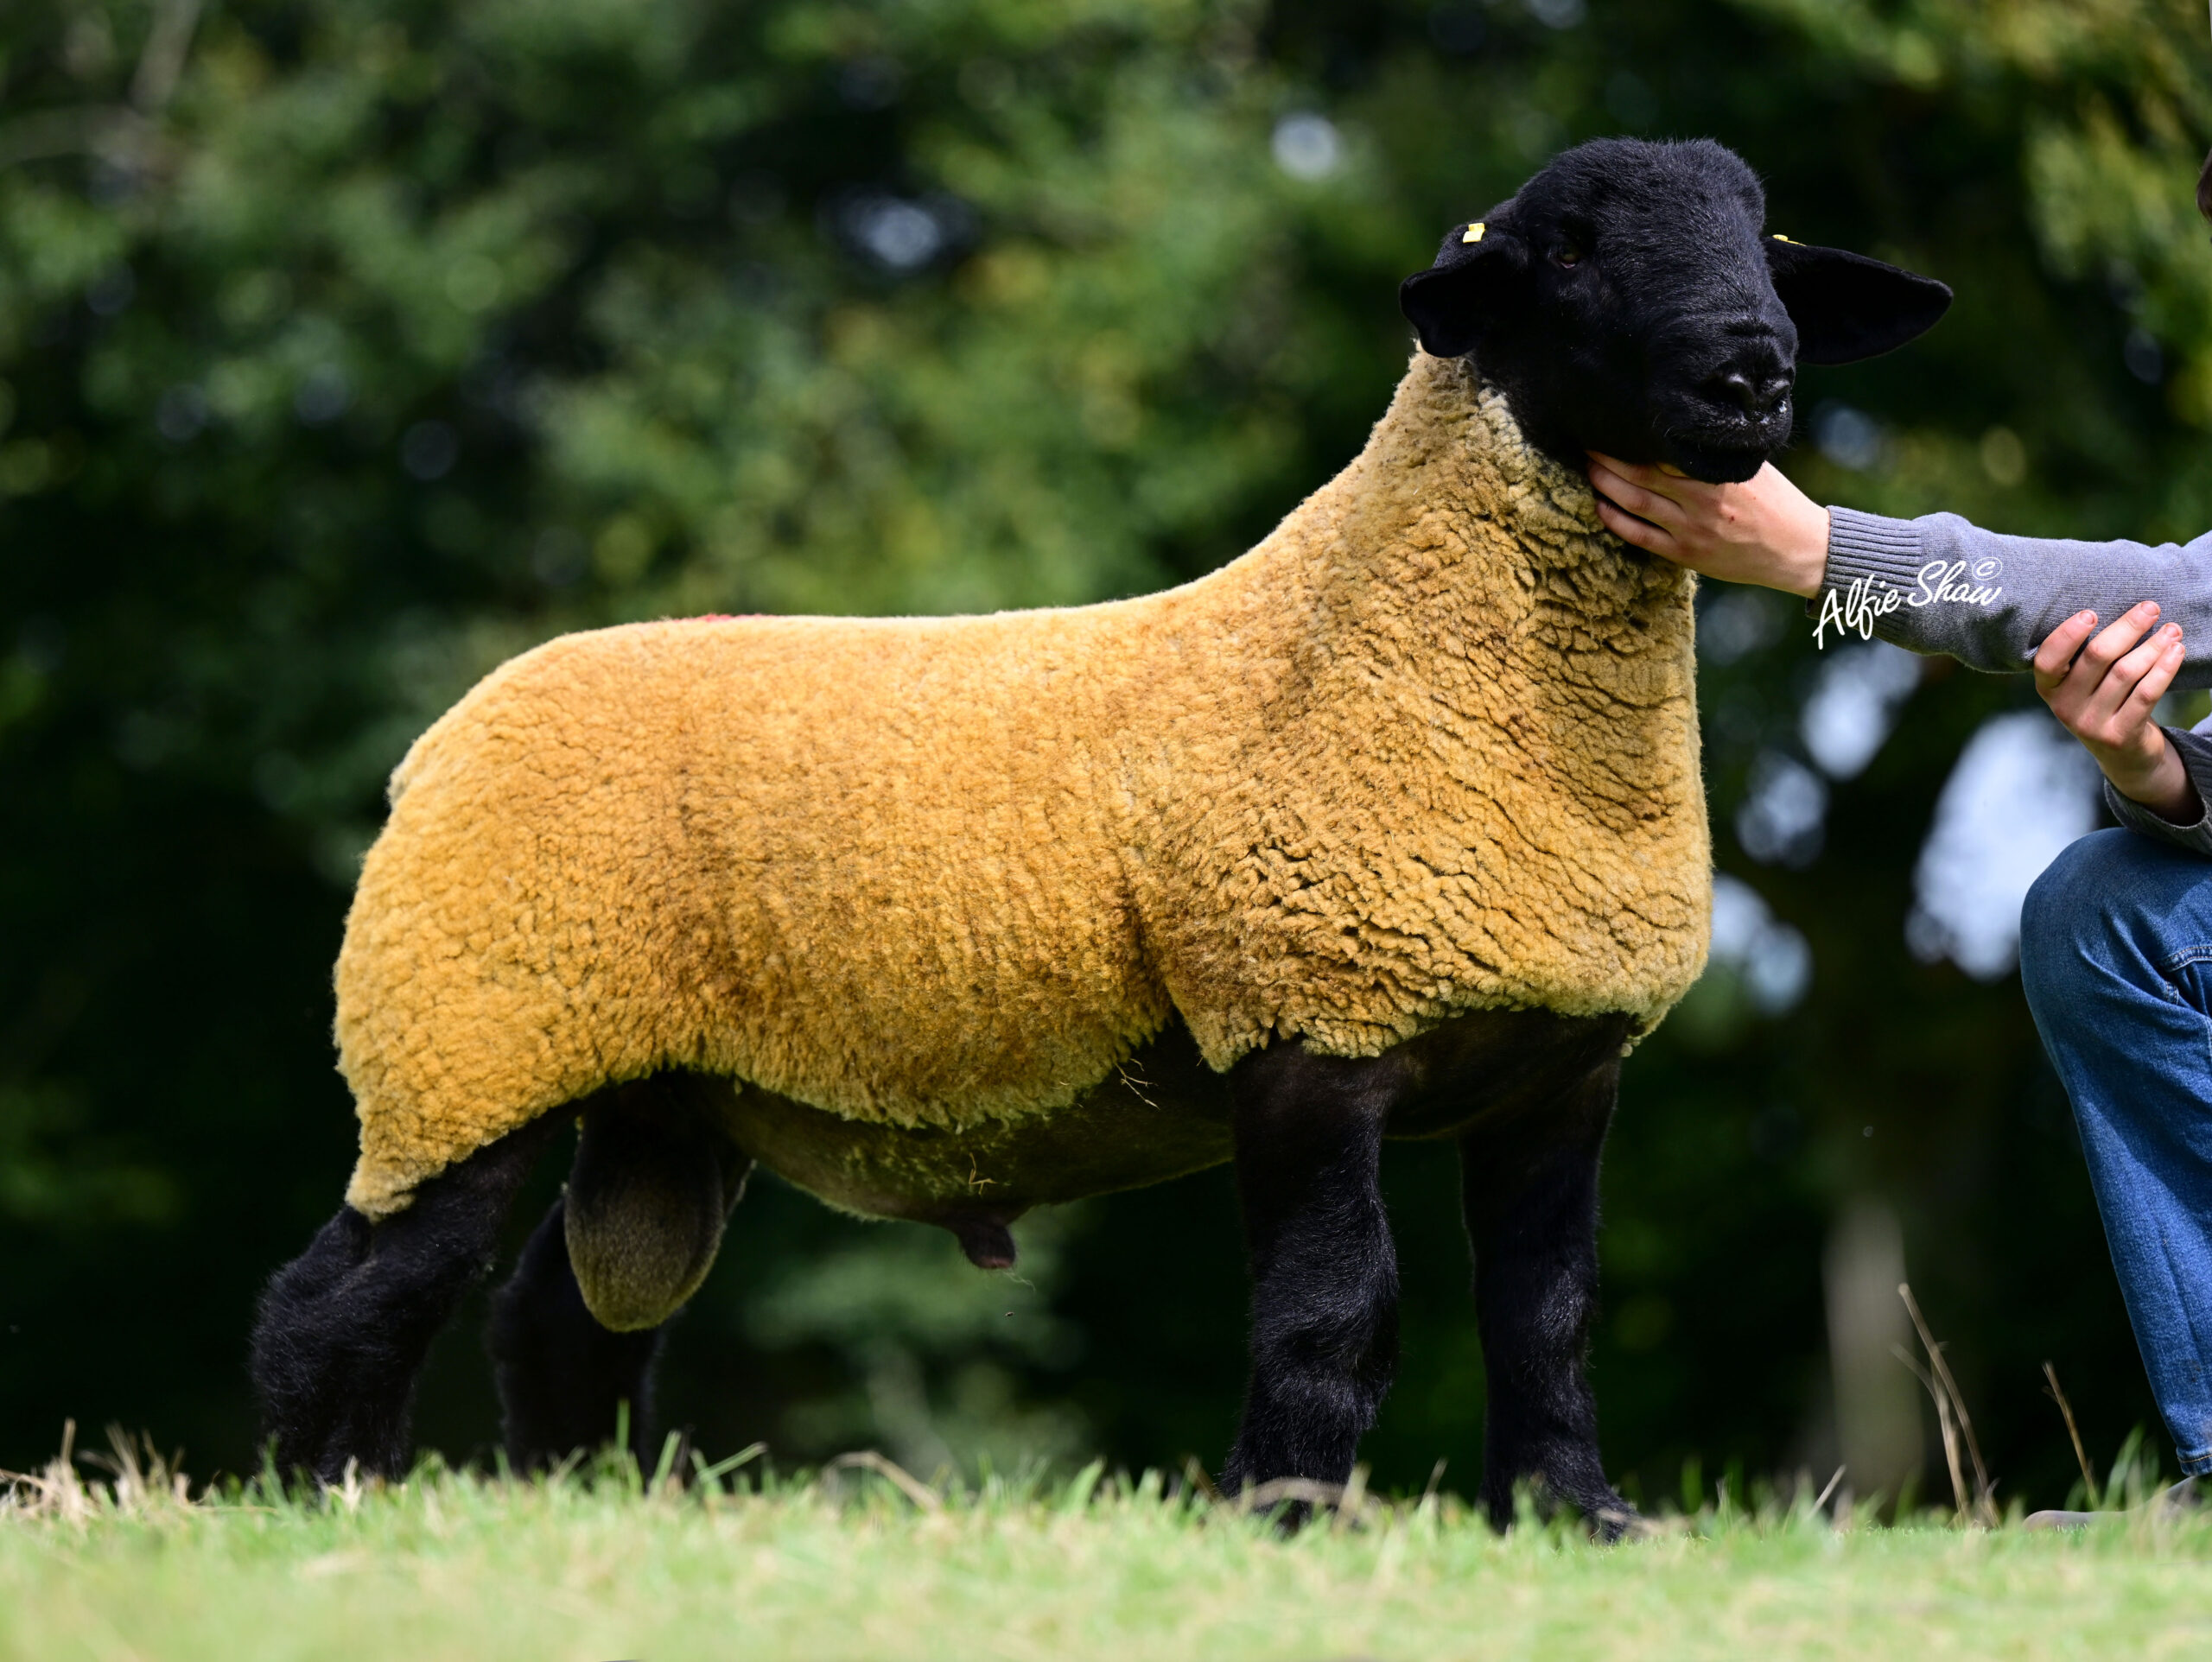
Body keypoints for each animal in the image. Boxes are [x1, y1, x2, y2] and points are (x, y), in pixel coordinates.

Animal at [250, 136, 1949, 1527]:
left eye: (1765, 242)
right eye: (1577, 247)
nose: (1752, 376)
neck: (1383, 632)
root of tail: (440, 743)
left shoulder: (1563, 1069)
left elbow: (1547, 1315)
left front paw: (1576, 1519)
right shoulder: (1305, 1027)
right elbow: (1337, 1309)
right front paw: (1286, 1519)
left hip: (654, 1094)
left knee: (558, 1311)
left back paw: (580, 1507)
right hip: (467, 1039)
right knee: (344, 1295)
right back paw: (317, 1501)